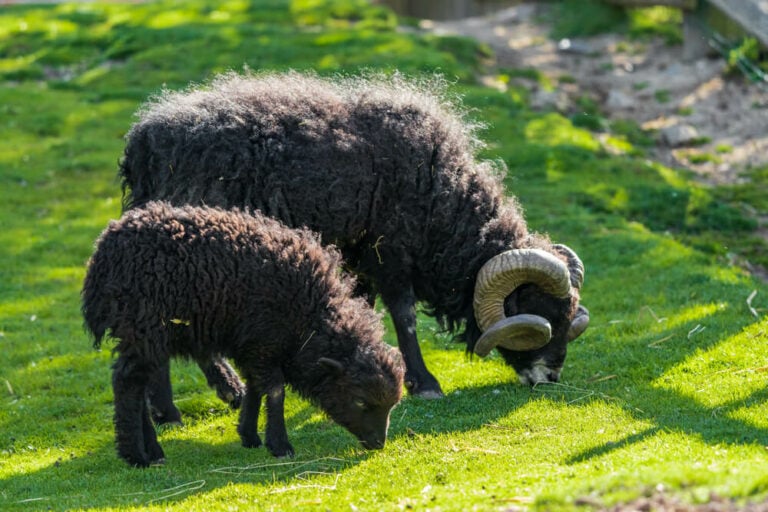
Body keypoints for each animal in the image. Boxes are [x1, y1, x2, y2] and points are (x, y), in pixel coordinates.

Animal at [81, 201, 405, 467]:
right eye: (360, 401)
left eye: (392, 405)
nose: (378, 444)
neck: (312, 315)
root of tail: (102, 255)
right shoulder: (265, 341)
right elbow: (274, 391)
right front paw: (280, 445)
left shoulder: (253, 345)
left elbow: (254, 387)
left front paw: (249, 435)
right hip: (143, 327)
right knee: (127, 383)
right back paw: (136, 455)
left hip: (144, 335)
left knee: (137, 385)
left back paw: (152, 451)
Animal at [119, 71, 589, 408]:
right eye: (540, 311)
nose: (550, 378)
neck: (443, 203)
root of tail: (141, 142)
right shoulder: (391, 250)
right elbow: (404, 315)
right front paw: (424, 383)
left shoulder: (358, 255)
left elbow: (365, 307)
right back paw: (194, 402)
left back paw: (193, 402)